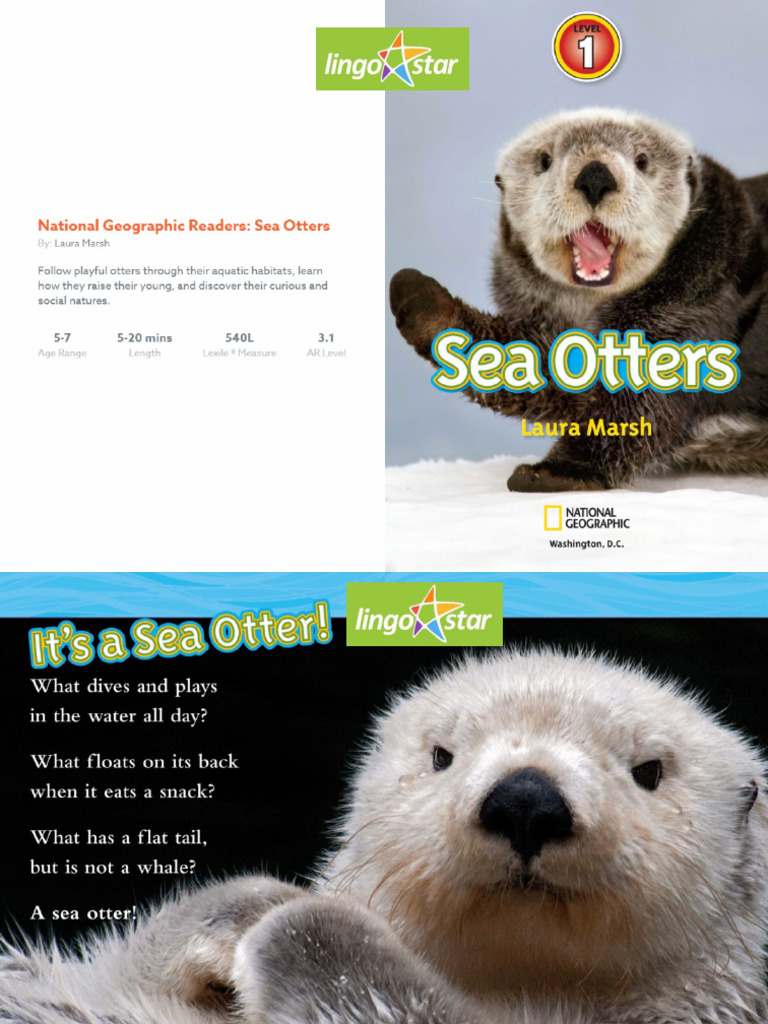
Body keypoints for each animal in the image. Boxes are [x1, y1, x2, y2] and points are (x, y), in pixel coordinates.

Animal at [390, 109, 768, 491]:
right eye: (545, 160)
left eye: (642, 160)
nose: (596, 175)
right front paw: (422, 301)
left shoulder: (693, 304)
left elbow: (636, 406)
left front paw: (555, 472)